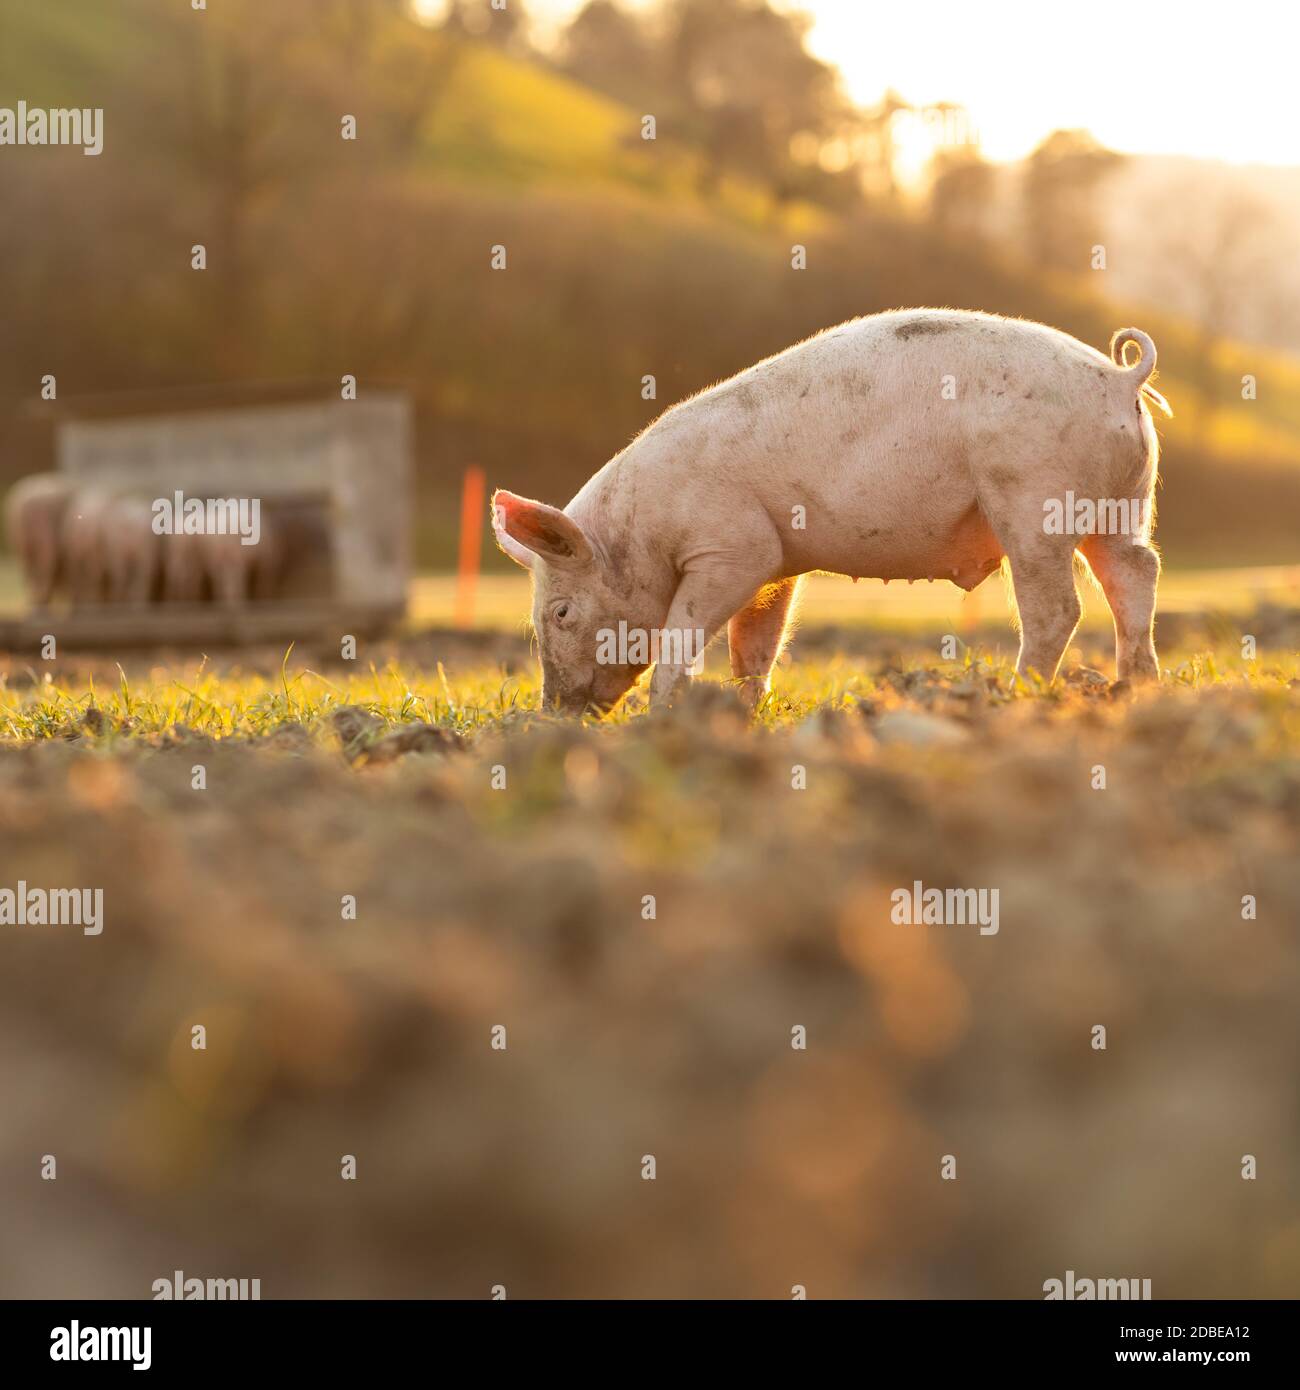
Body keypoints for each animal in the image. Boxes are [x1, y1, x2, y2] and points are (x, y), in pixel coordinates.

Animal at [492, 309, 1172, 714]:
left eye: (559, 612)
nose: (556, 712)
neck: (641, 534)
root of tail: (1120, 378)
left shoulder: (733, 547)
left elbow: (683, 630)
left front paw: (664, 716)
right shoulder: (778, 566)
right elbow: (756, 644)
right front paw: (743, 712)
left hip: (1032, 498)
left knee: (1058, 608)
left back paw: (1016, 696)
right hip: (1125, 504)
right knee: (1136, 573)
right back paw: (1135, 688)